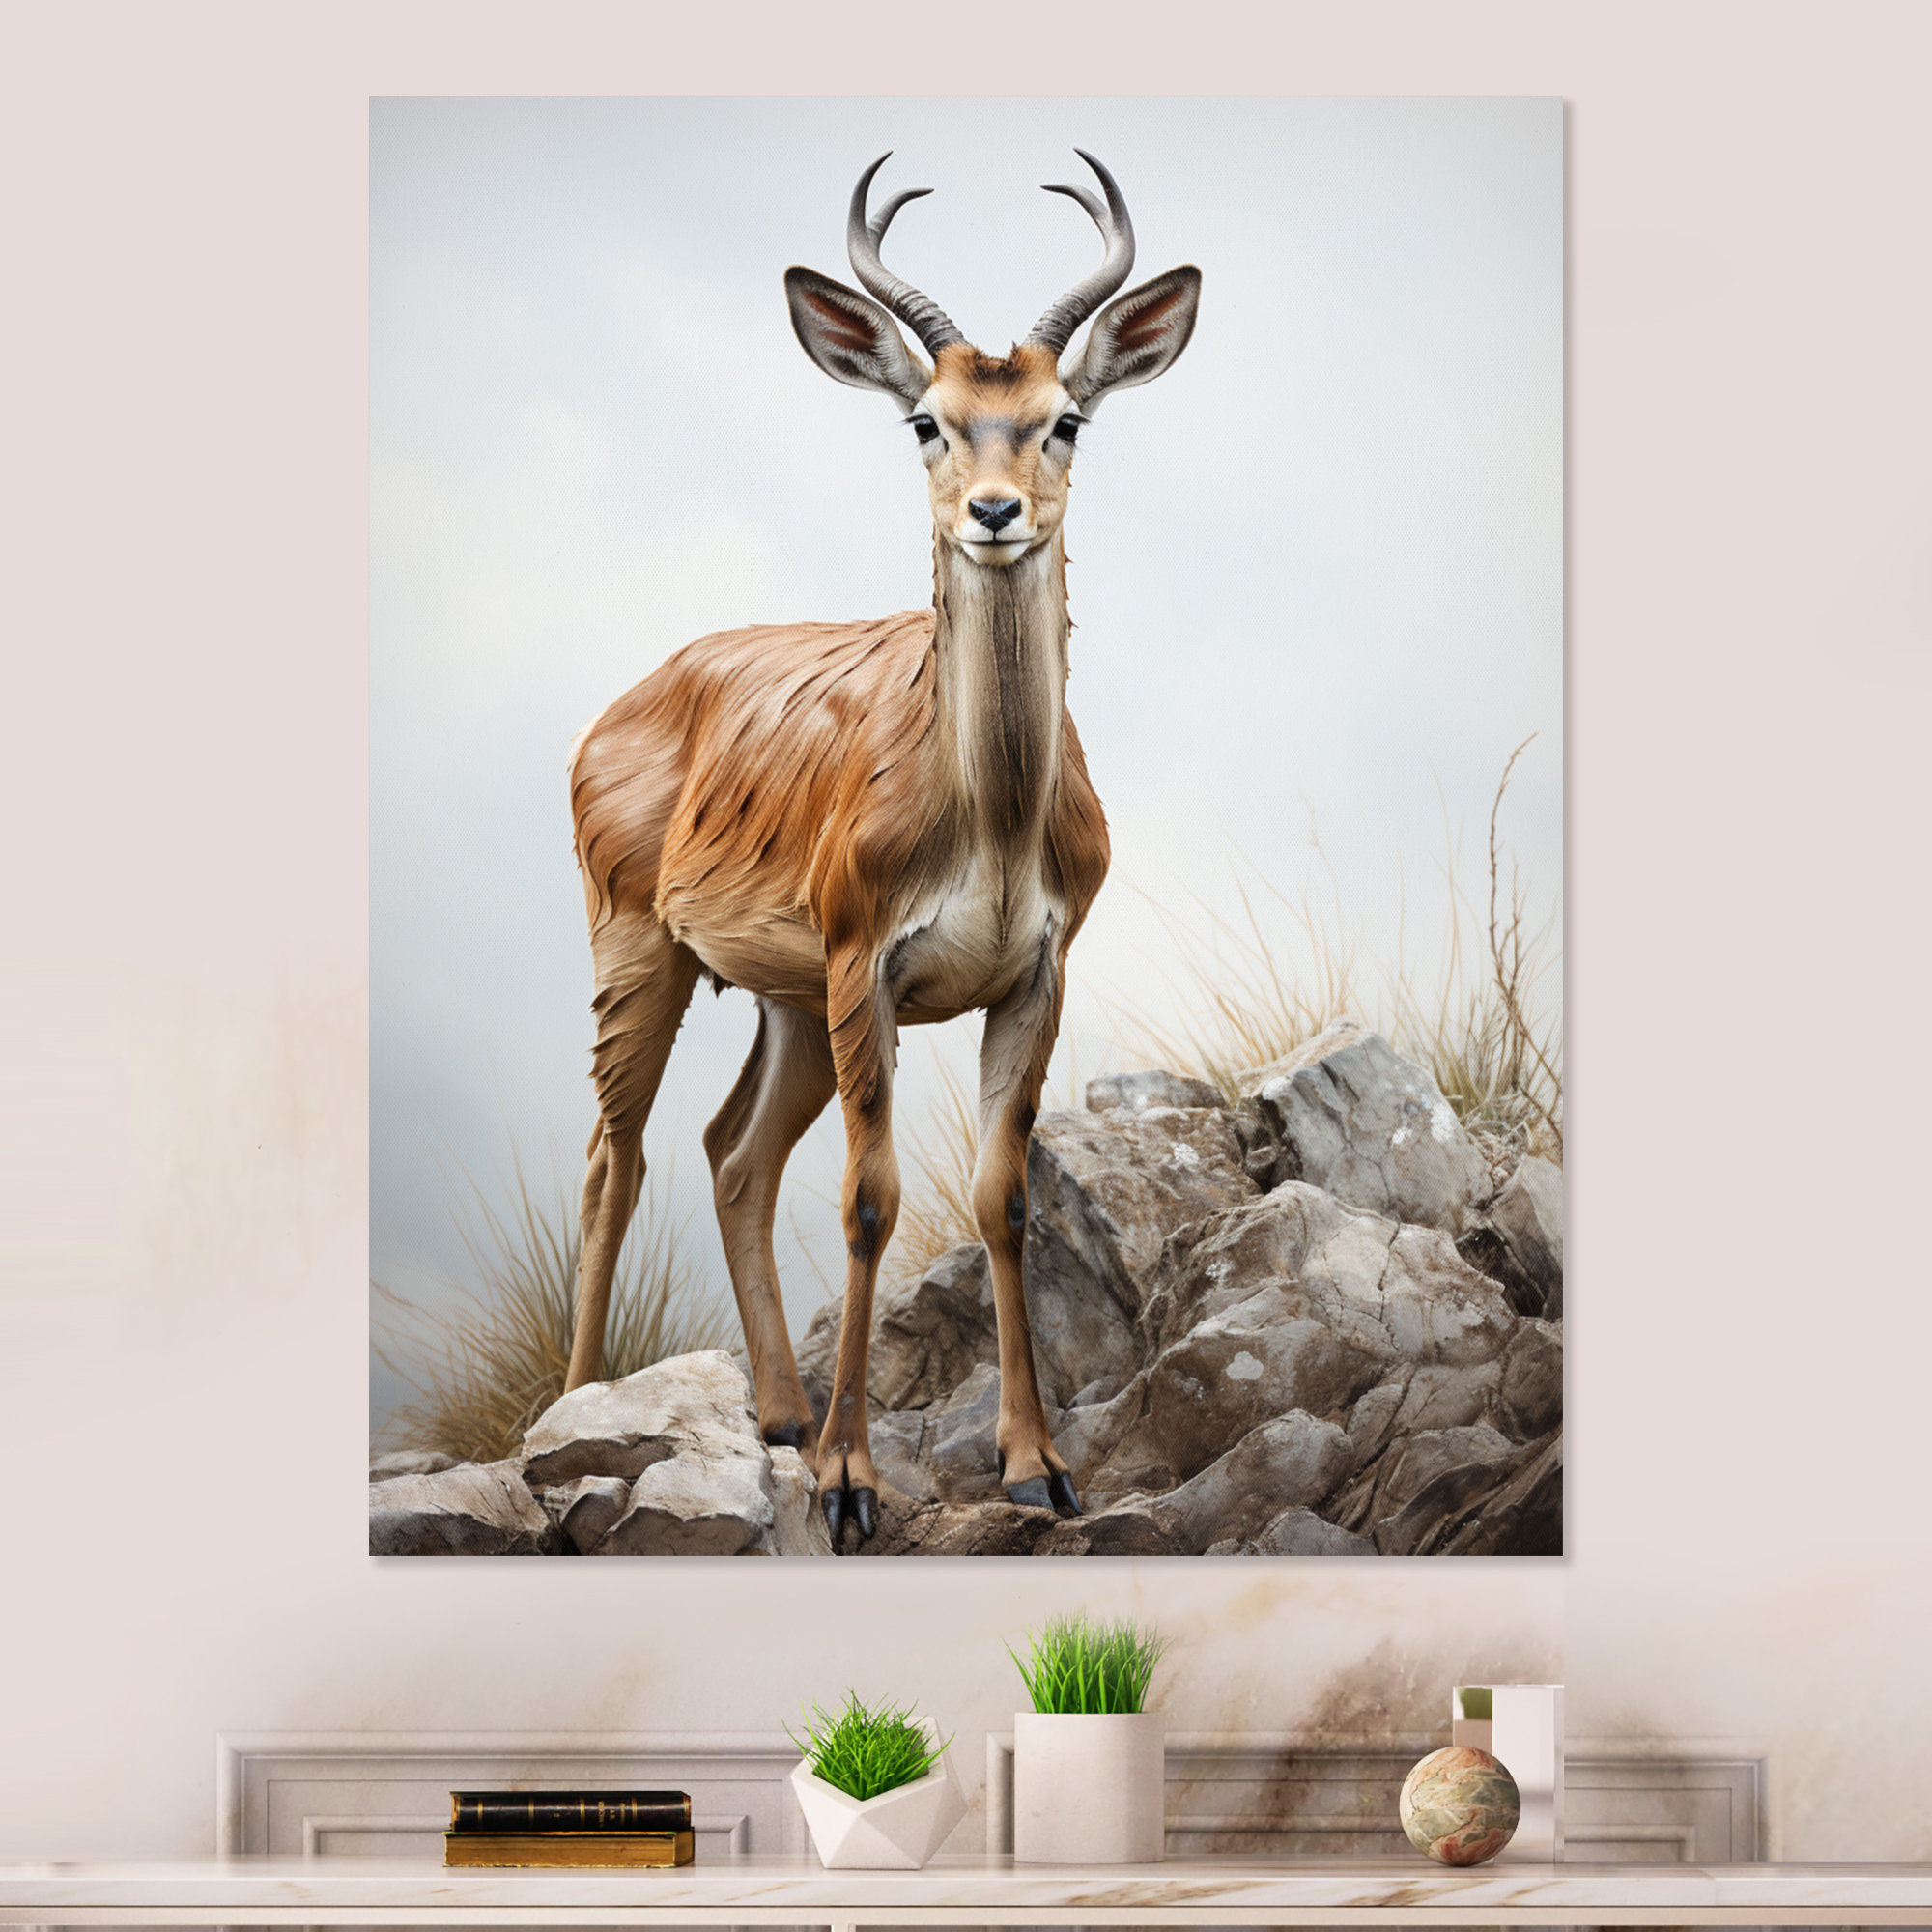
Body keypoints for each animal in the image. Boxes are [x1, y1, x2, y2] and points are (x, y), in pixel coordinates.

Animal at [564, 151, 1200, 1545]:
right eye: (926, 420)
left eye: (1065, 418)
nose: (994, 513)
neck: (993, 821)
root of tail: (625, 701)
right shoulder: (872, 964)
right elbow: (869, 1200)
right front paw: (853, 1481)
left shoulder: (1030, 977)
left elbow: (1002, 1196)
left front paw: (1036, 1465)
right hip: (644, 953)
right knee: (614, 1158)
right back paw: (584, 1412)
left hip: (787, 1005)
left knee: (731, 1157)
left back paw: (778, 1418)